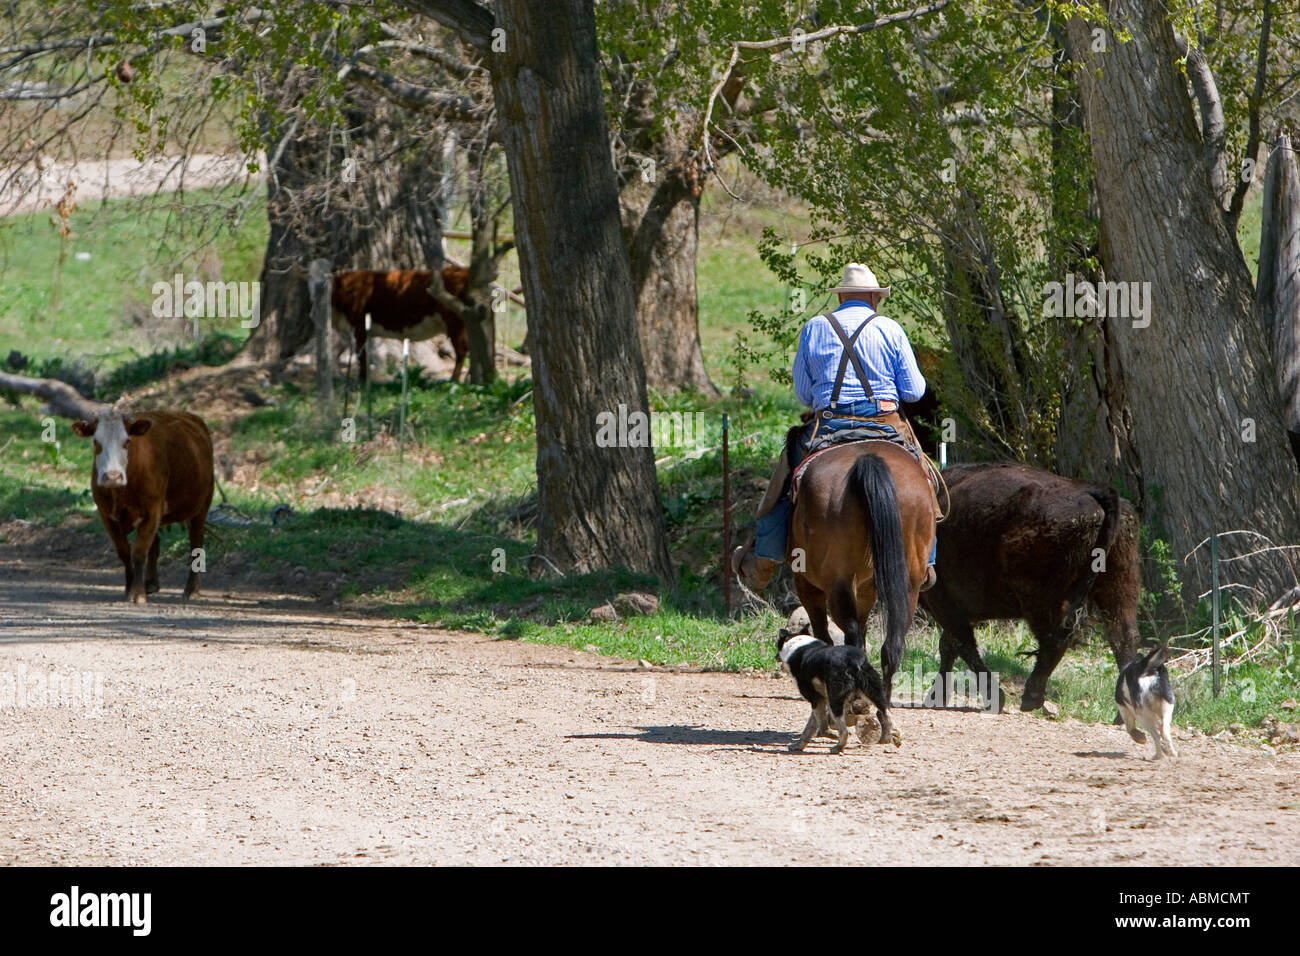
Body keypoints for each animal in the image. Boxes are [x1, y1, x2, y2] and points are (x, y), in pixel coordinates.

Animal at [71, 409, 214, 604]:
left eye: (127, 441)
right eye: (95, 442)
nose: (112, 476)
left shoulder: (152, 509)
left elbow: (139, 552)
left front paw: (137, 593)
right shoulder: (106, 515)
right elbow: (125, 552)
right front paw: (129, 587)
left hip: (202, 506)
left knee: (196, 544)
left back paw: (192, 589)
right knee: (156, 542)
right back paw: (151, 583)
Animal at [331, 264, 471, 384]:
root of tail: (463, 270)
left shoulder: (359, 326)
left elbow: (362, 356)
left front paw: (362, 380)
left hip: (457, 322)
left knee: (462, 351)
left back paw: (454, 380)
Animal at [920, 462, 1140, 712]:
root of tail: (1090, 489)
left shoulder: (943, 603)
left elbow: (961, 644)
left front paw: (994, 697)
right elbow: (950, 645)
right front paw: (936, 697)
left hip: (1039, 601)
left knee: (1055, 641)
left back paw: (1030, 698)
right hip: (1118, 587)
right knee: (1123, 637)